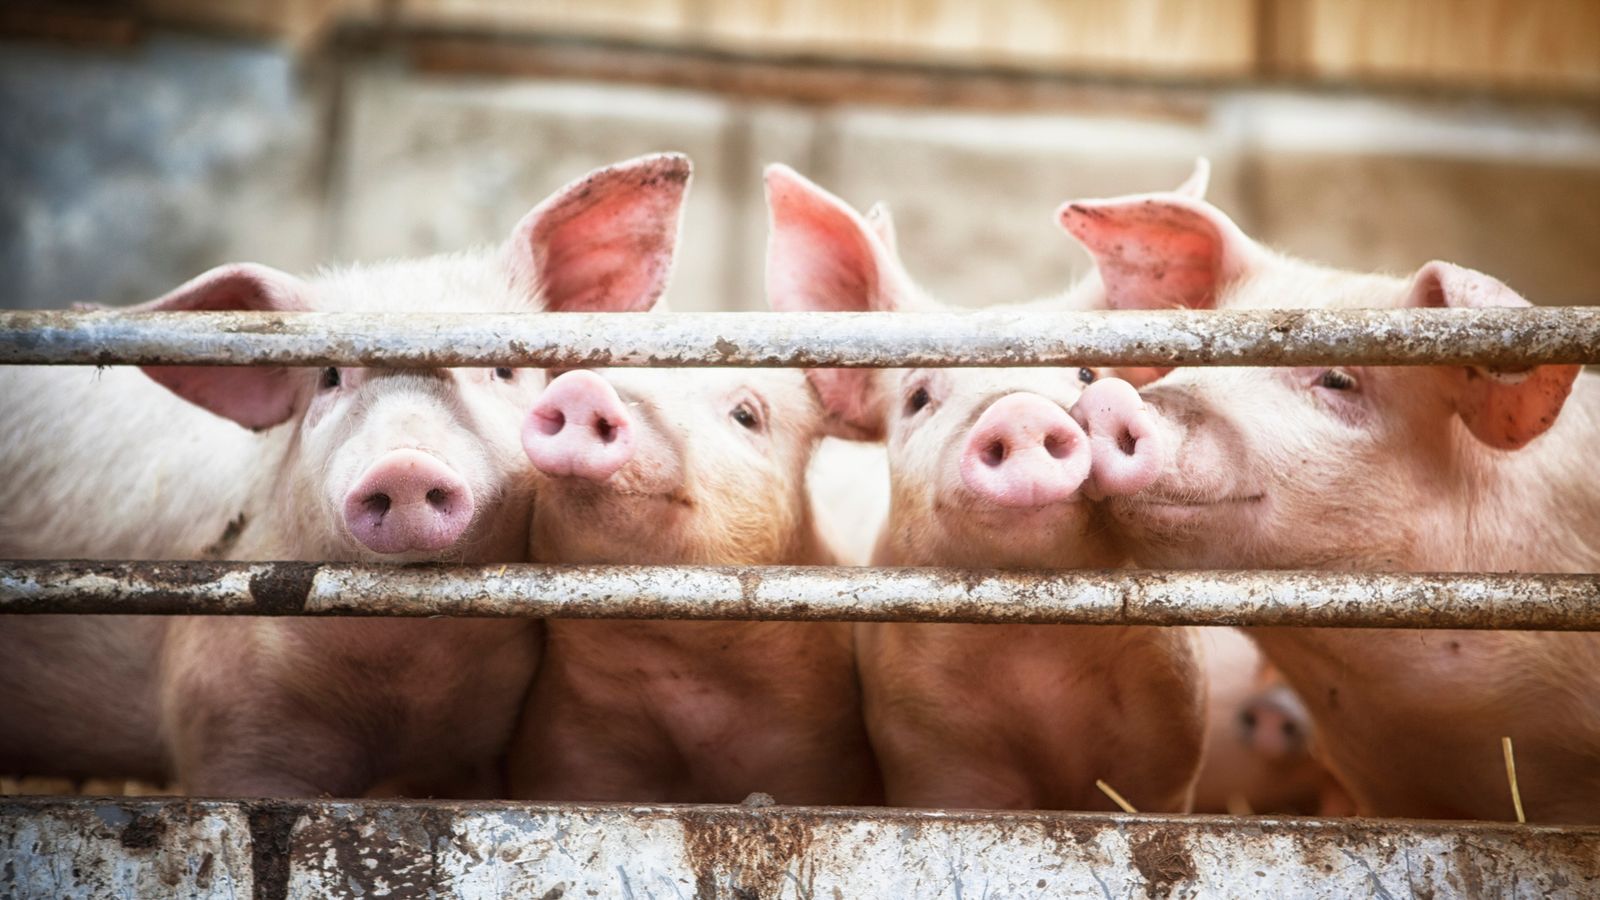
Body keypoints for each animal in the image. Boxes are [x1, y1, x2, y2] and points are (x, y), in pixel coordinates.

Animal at [763, 163, 1206, 812]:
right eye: (919, 397)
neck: (1033, 652)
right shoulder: (928, 747)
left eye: (1086, 373)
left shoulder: (1169, 742)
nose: (1019, 410)